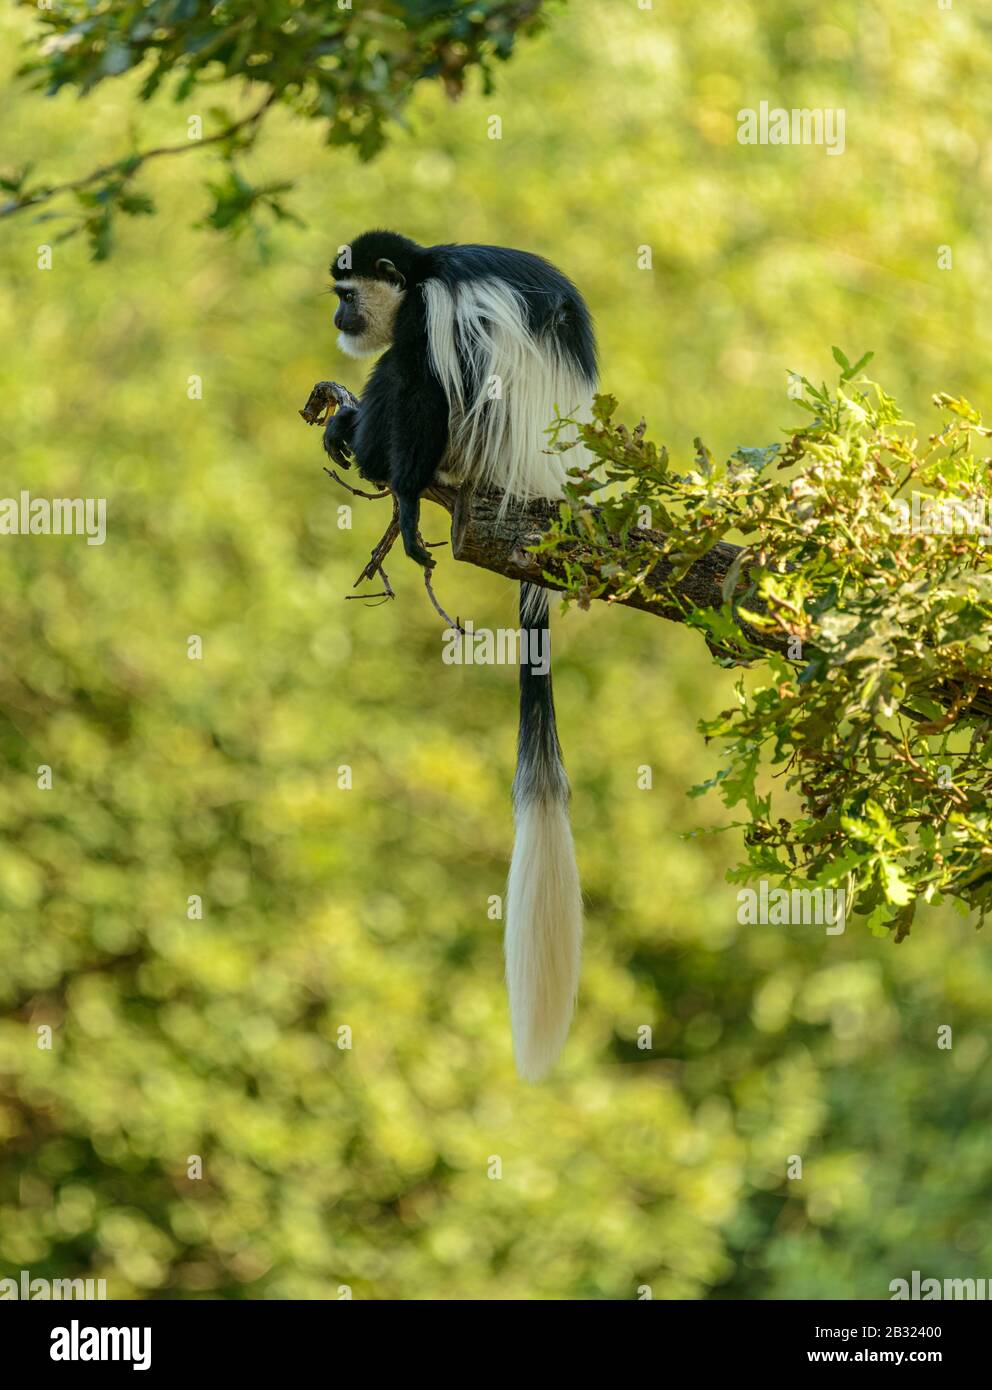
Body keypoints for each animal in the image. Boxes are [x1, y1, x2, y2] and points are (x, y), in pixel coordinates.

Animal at [323, 230, 597, 1079]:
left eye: (347, 292)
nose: (339, 319)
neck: (419, 275)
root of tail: (543, 484)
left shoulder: (437, 312)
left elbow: (426, 378)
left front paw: (404, 493)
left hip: (481, 439)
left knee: (419, 377)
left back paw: (374, 454)